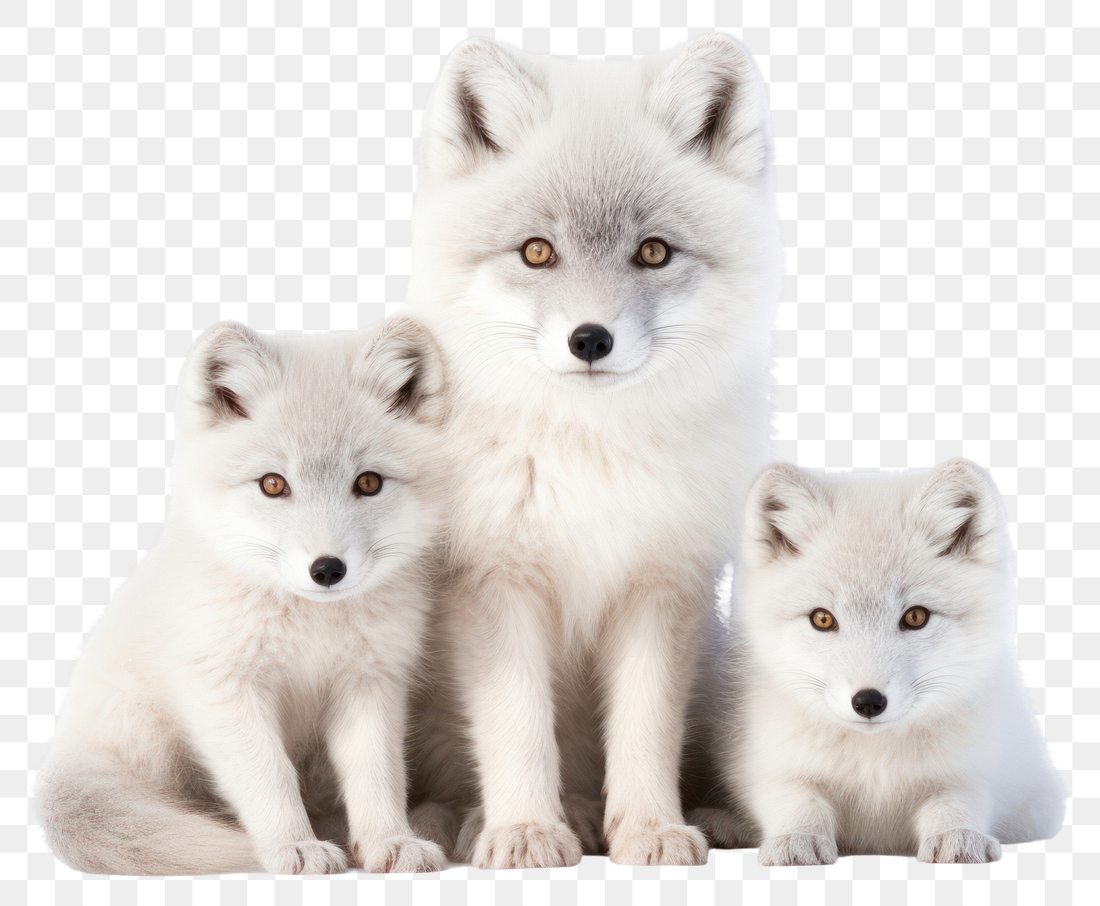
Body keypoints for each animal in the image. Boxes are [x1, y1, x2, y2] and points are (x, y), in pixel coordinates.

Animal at [37, 318, 451, 875]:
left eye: (368, 483)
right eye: (273, 485)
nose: (327, 569)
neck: (311, 629)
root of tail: (68, 744)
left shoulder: (368, 686)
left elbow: (378, 777)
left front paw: (390, 841)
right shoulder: (225, 687)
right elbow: (269, 777)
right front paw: (293, 847)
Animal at [401, 34, 783, 867]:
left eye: (654, 252)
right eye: (538, 252)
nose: (590, 340)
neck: (589, 459)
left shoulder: (659, 589)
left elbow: (645, 734)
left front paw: (650, 830)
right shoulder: (497, 584)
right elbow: (517, 732)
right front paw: (523, 830)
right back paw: (465, 823)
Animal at [695, 459, 1065, 864]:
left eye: (916, 617)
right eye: (822, 619)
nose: (868, 701)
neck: (874, 763)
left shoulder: (973, 771)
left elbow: (955, 801)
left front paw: (956, 836)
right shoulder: (770, 765)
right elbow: (798, 799)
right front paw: (797, 839)